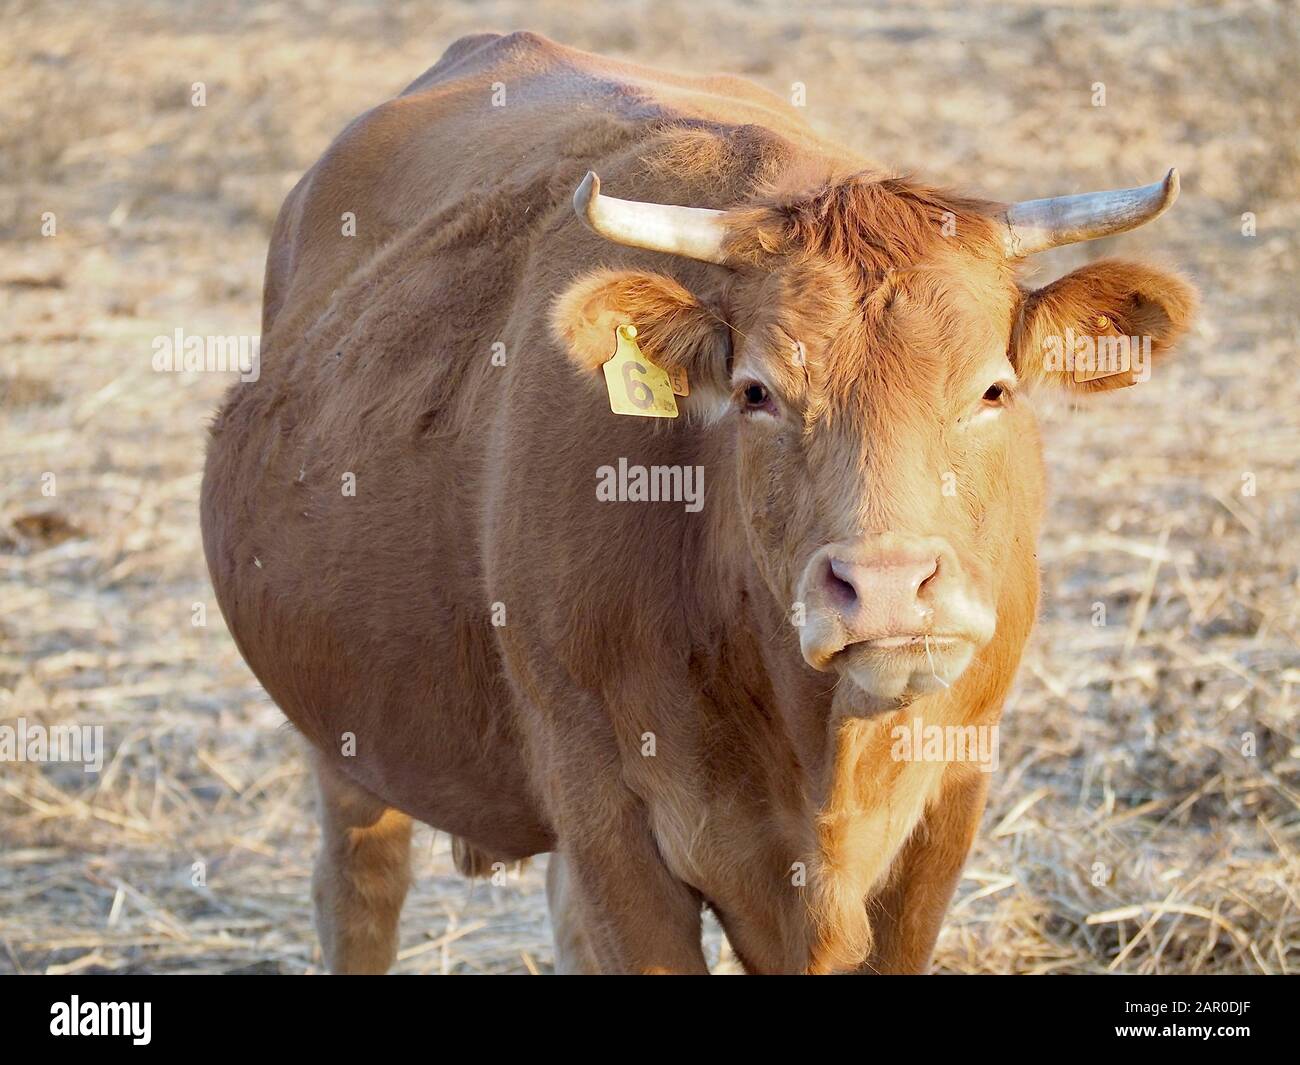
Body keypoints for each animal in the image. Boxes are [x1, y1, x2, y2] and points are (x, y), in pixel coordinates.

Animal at [200, 31, 1195, 974]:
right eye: (757, 392)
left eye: (993, 389)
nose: (885, 589)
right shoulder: (603, 808)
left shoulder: (949, 802)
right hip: (345, 733)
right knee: (360, 890)